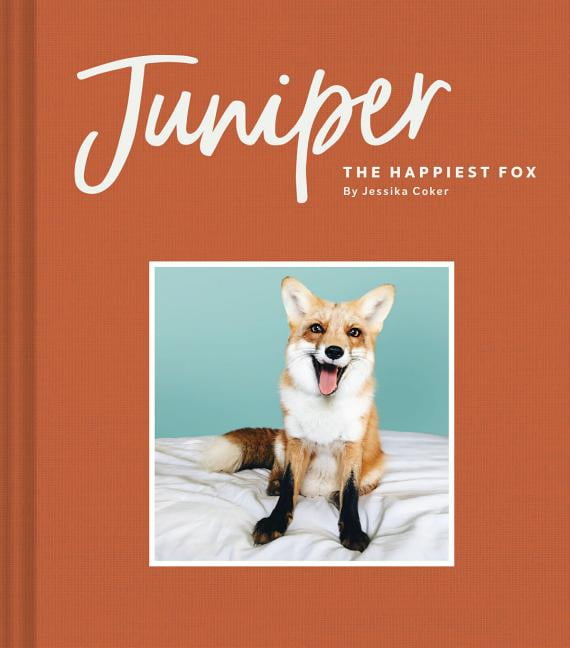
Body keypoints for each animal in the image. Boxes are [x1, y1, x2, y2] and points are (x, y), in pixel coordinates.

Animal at [202, 276, 395, 552]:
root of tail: (316, 493)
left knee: (360, 487)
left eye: (354, 332)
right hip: (281, 442)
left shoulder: (352, 445)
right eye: (316, 328)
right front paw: (275, 522)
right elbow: (288, 487)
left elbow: (351, 494)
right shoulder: (297, 442)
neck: (325, 411)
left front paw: (352, 530)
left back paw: (335, 496)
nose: (334, 351)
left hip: (377, 464)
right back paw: (274, 485)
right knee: (277, 470)